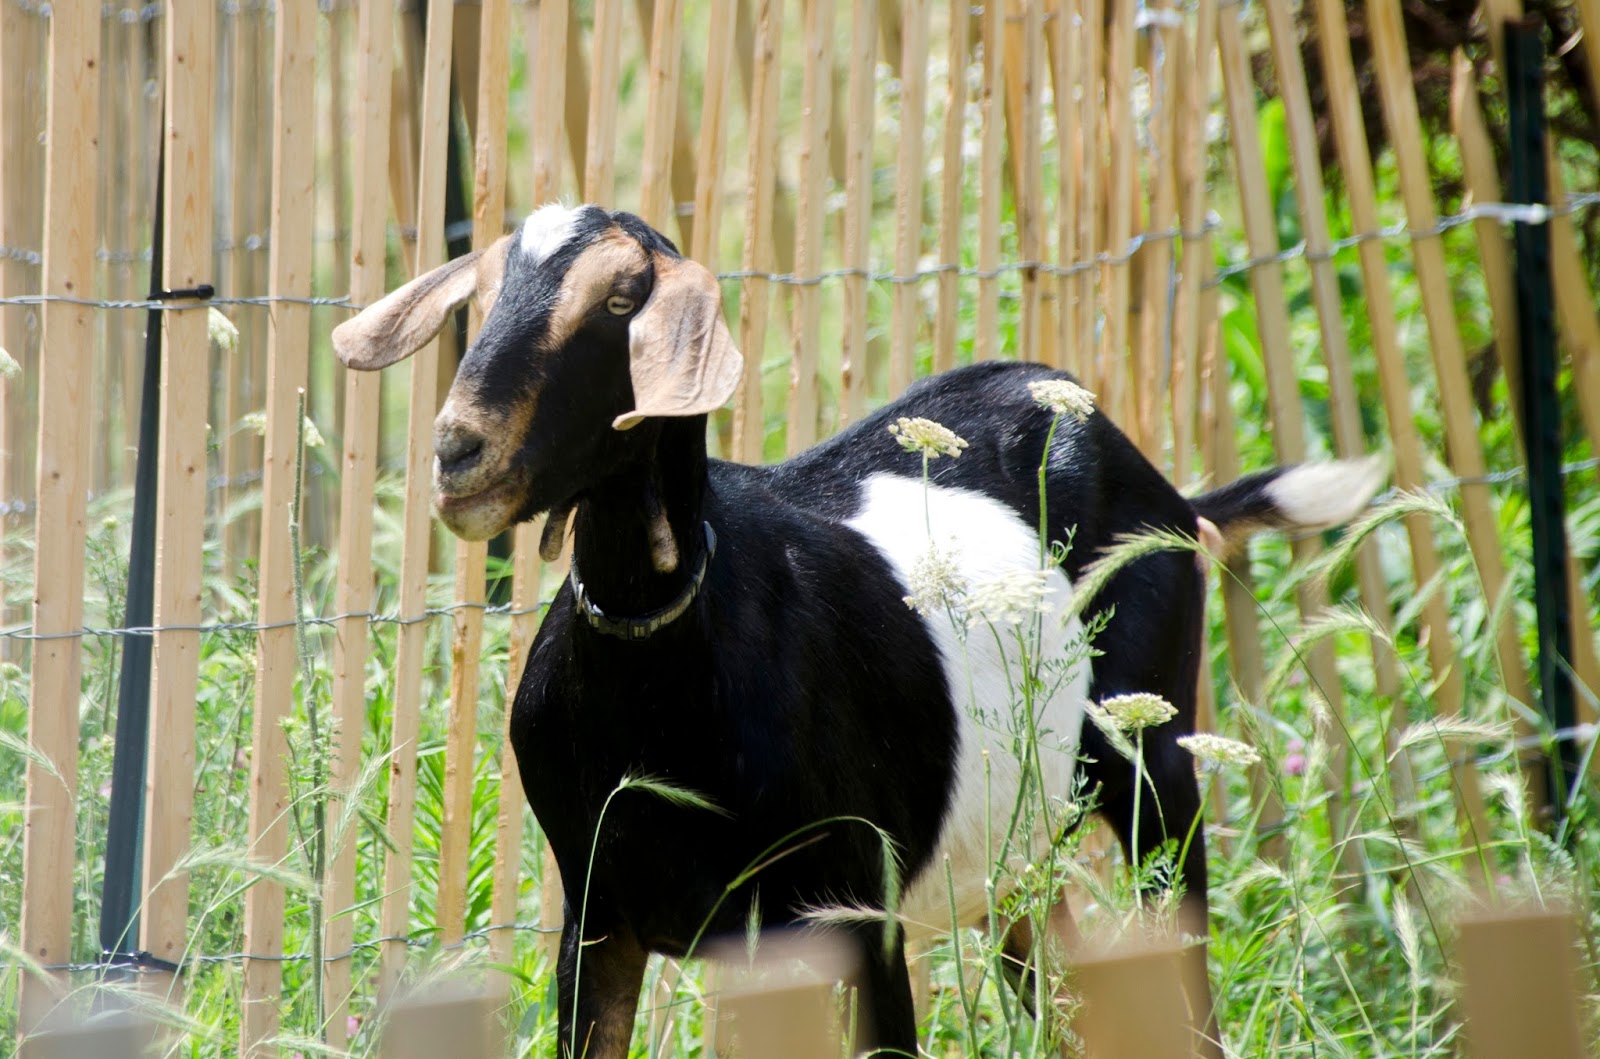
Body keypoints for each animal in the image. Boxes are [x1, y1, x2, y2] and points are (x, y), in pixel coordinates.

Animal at [333, 204, 1382, 1057]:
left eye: (623, 297)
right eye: (487, 287)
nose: (457, 452)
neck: (666, 661)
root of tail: (1168, 494)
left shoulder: (855, 904)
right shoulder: (599, 918)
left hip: (1154, 769)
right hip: (1011, 852)